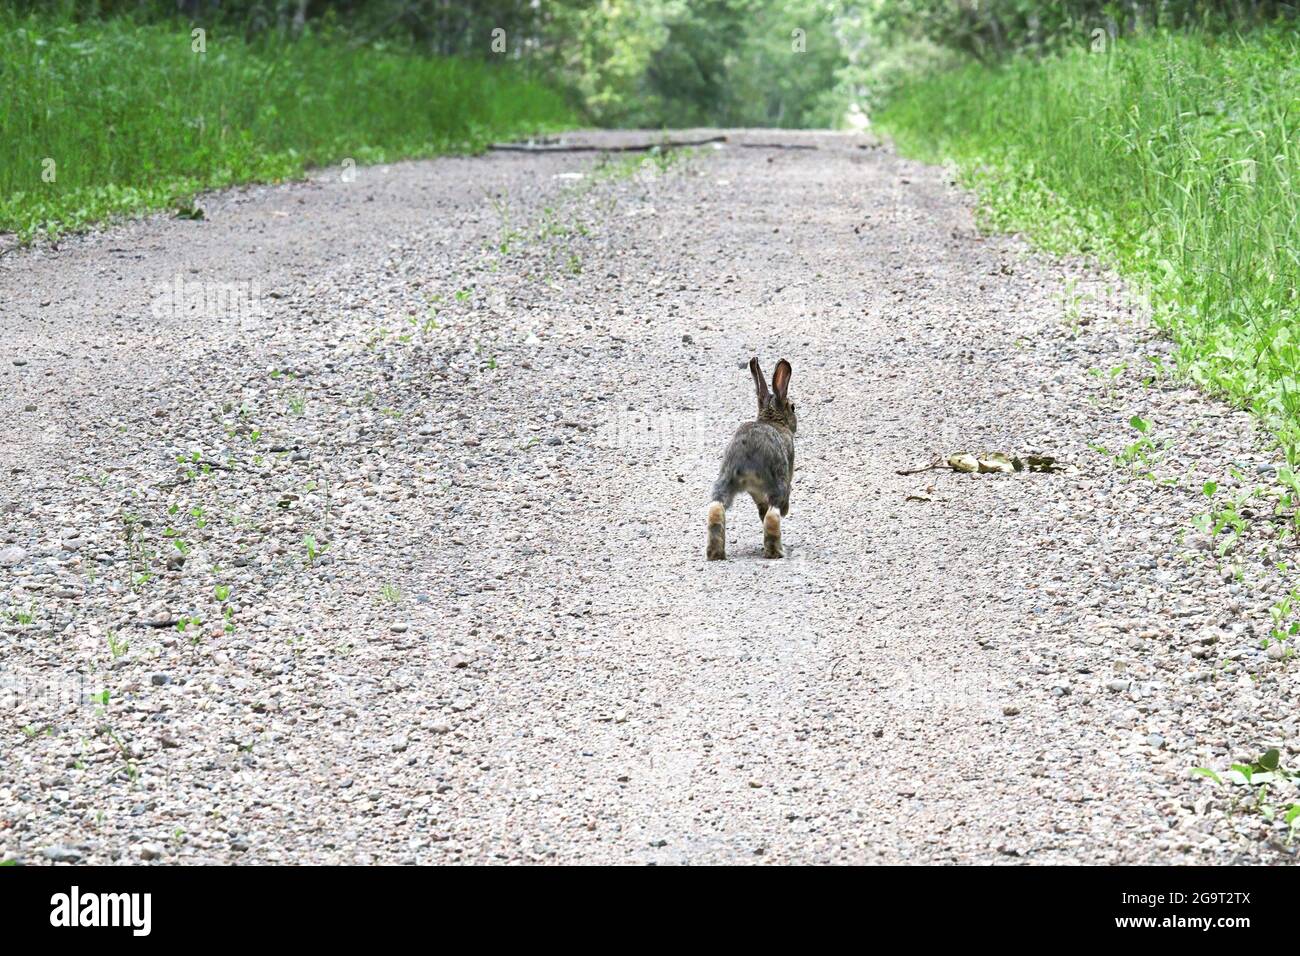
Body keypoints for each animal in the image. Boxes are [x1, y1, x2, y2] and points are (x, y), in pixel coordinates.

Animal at [706, 357, 796, 560]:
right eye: (793, 407)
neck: (772, 420)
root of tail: (748, 458)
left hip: (726, 480)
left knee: (716, 509)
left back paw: (715, 554)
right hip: (778, 484)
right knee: (772, 515)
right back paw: (777, 552)